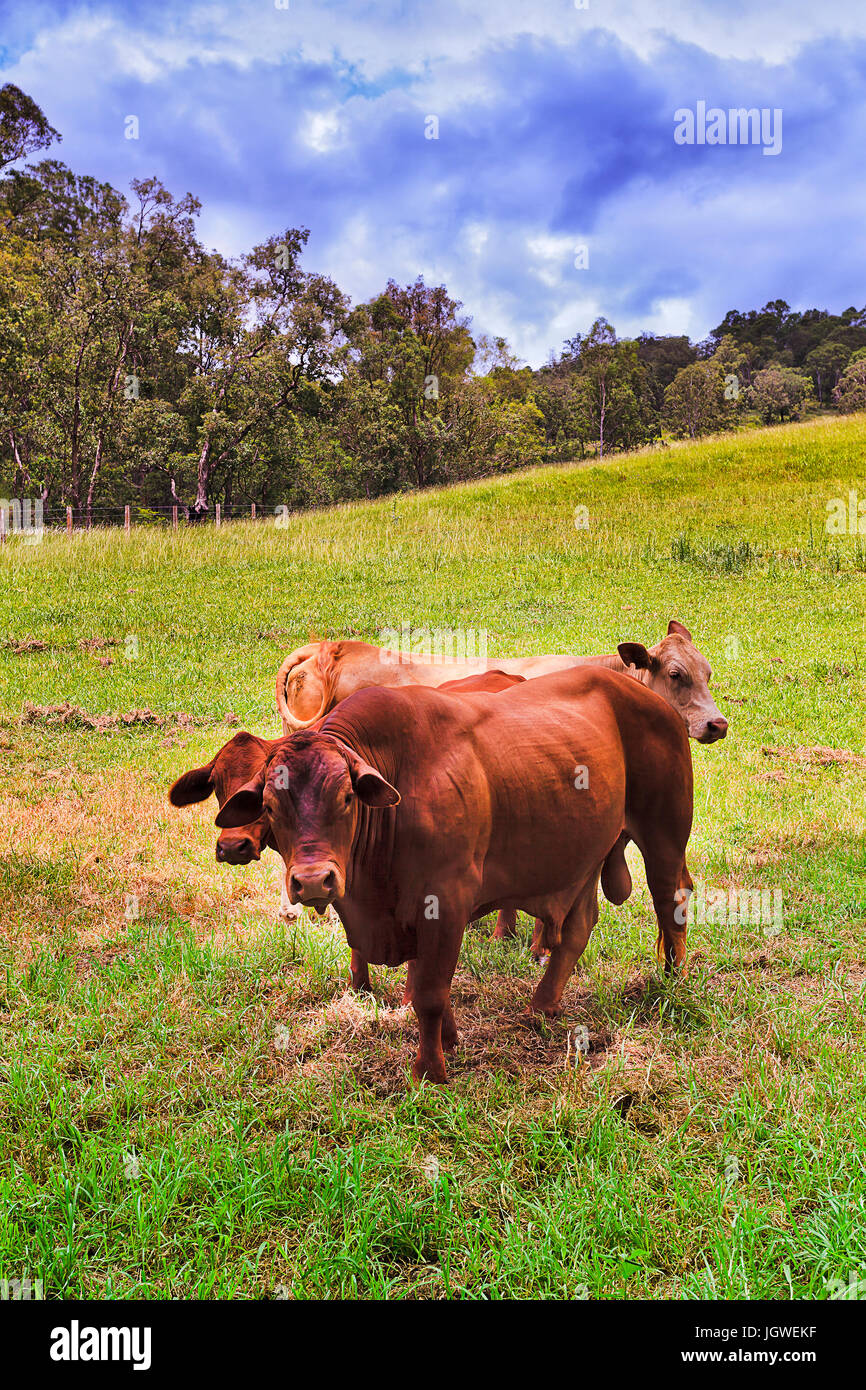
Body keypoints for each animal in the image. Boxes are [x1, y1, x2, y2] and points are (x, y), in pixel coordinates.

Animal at [215, 666, 694, 1083]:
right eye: (269, 806)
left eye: (347, 797)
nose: (314, 881)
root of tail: (651, 698)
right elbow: (429, 986)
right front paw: (449, 1038)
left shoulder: (445, 904)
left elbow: (428, 993)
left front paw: (430, 1071)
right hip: (582, 856)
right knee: (578, 928)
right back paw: (543, 1005)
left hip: (664, 833)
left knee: (671, 898)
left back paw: (671, 978)